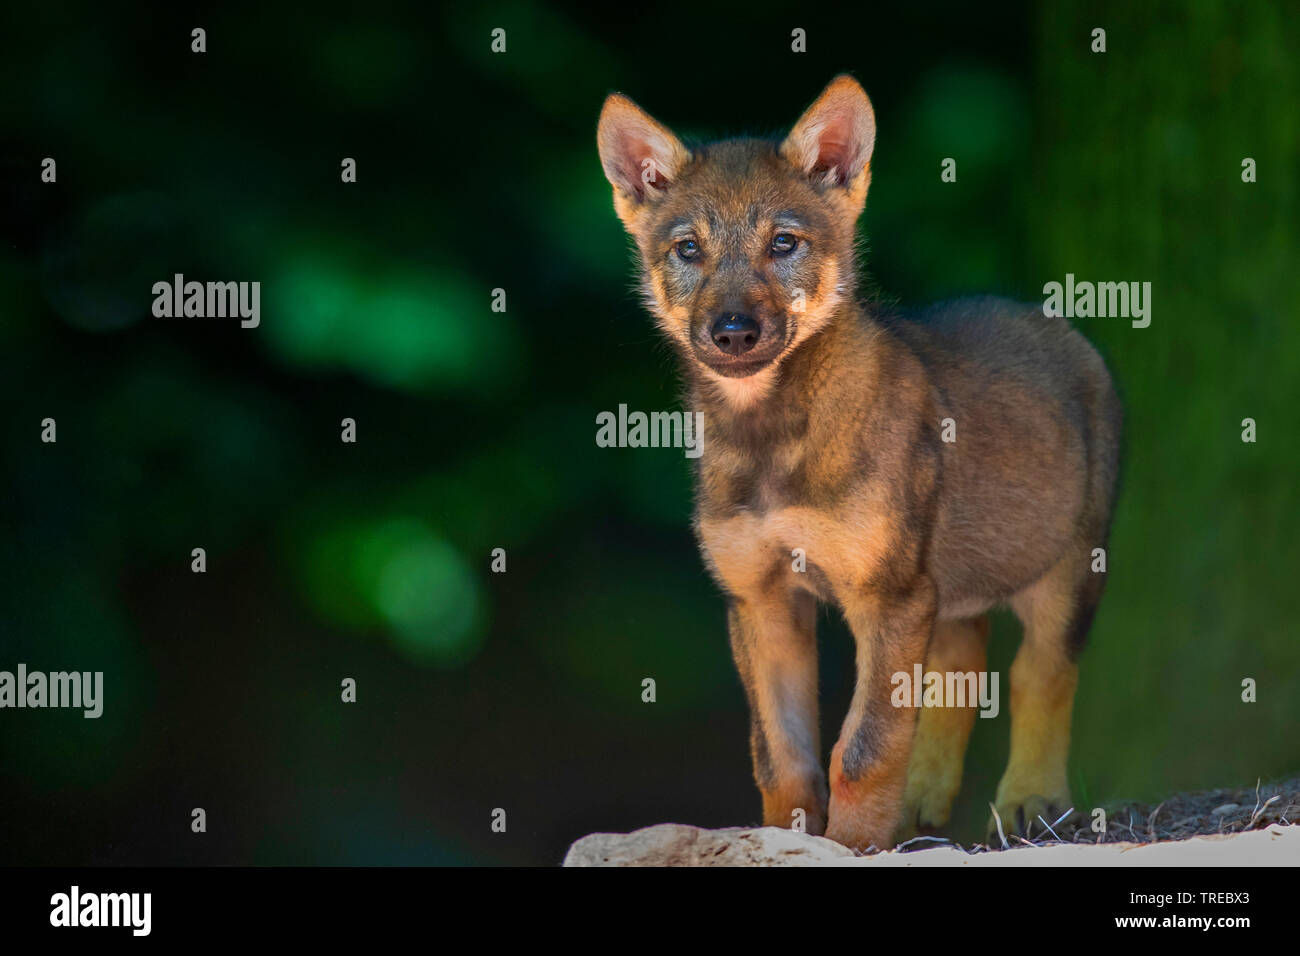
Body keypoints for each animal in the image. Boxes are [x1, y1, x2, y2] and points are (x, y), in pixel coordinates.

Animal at [596, 75, 1122, 851]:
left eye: (784, 243)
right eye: (688, 249)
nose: (732, 332)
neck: (770, 440)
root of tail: (1048, 318)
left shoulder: (888, 593)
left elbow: (865, 747)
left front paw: (852, 844)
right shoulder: (761, 598)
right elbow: (782, 758)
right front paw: (792, 838)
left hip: (1065, 570)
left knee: (1041, 674)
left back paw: (1031, 801)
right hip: (951, 584)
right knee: (961, 668)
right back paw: (921, 806)